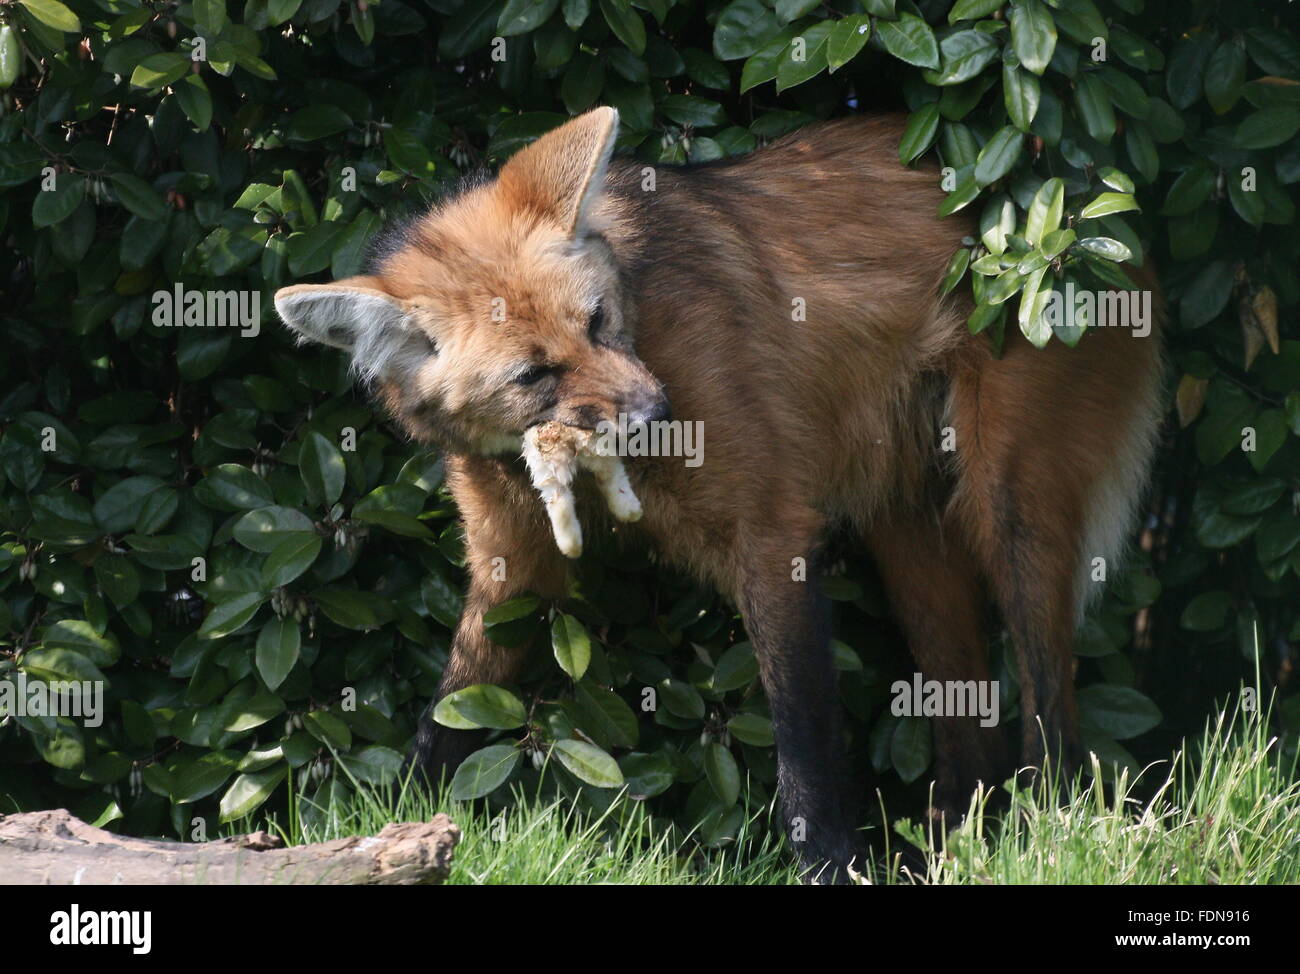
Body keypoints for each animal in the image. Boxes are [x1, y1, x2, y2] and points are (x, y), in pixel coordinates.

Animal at [275, 107, 1165, 881]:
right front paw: (385, 833)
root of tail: (1070, 196)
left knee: (1050, 707)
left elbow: (803, 744)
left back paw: (1047, 834)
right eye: (534, 375)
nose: (659, 415)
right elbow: (451, 708)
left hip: (1009, 501)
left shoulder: (771, 534)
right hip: (909, 534)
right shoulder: (512, 557)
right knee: (969, 717)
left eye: (597, 321)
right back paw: (951, 851)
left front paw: (831, 869)